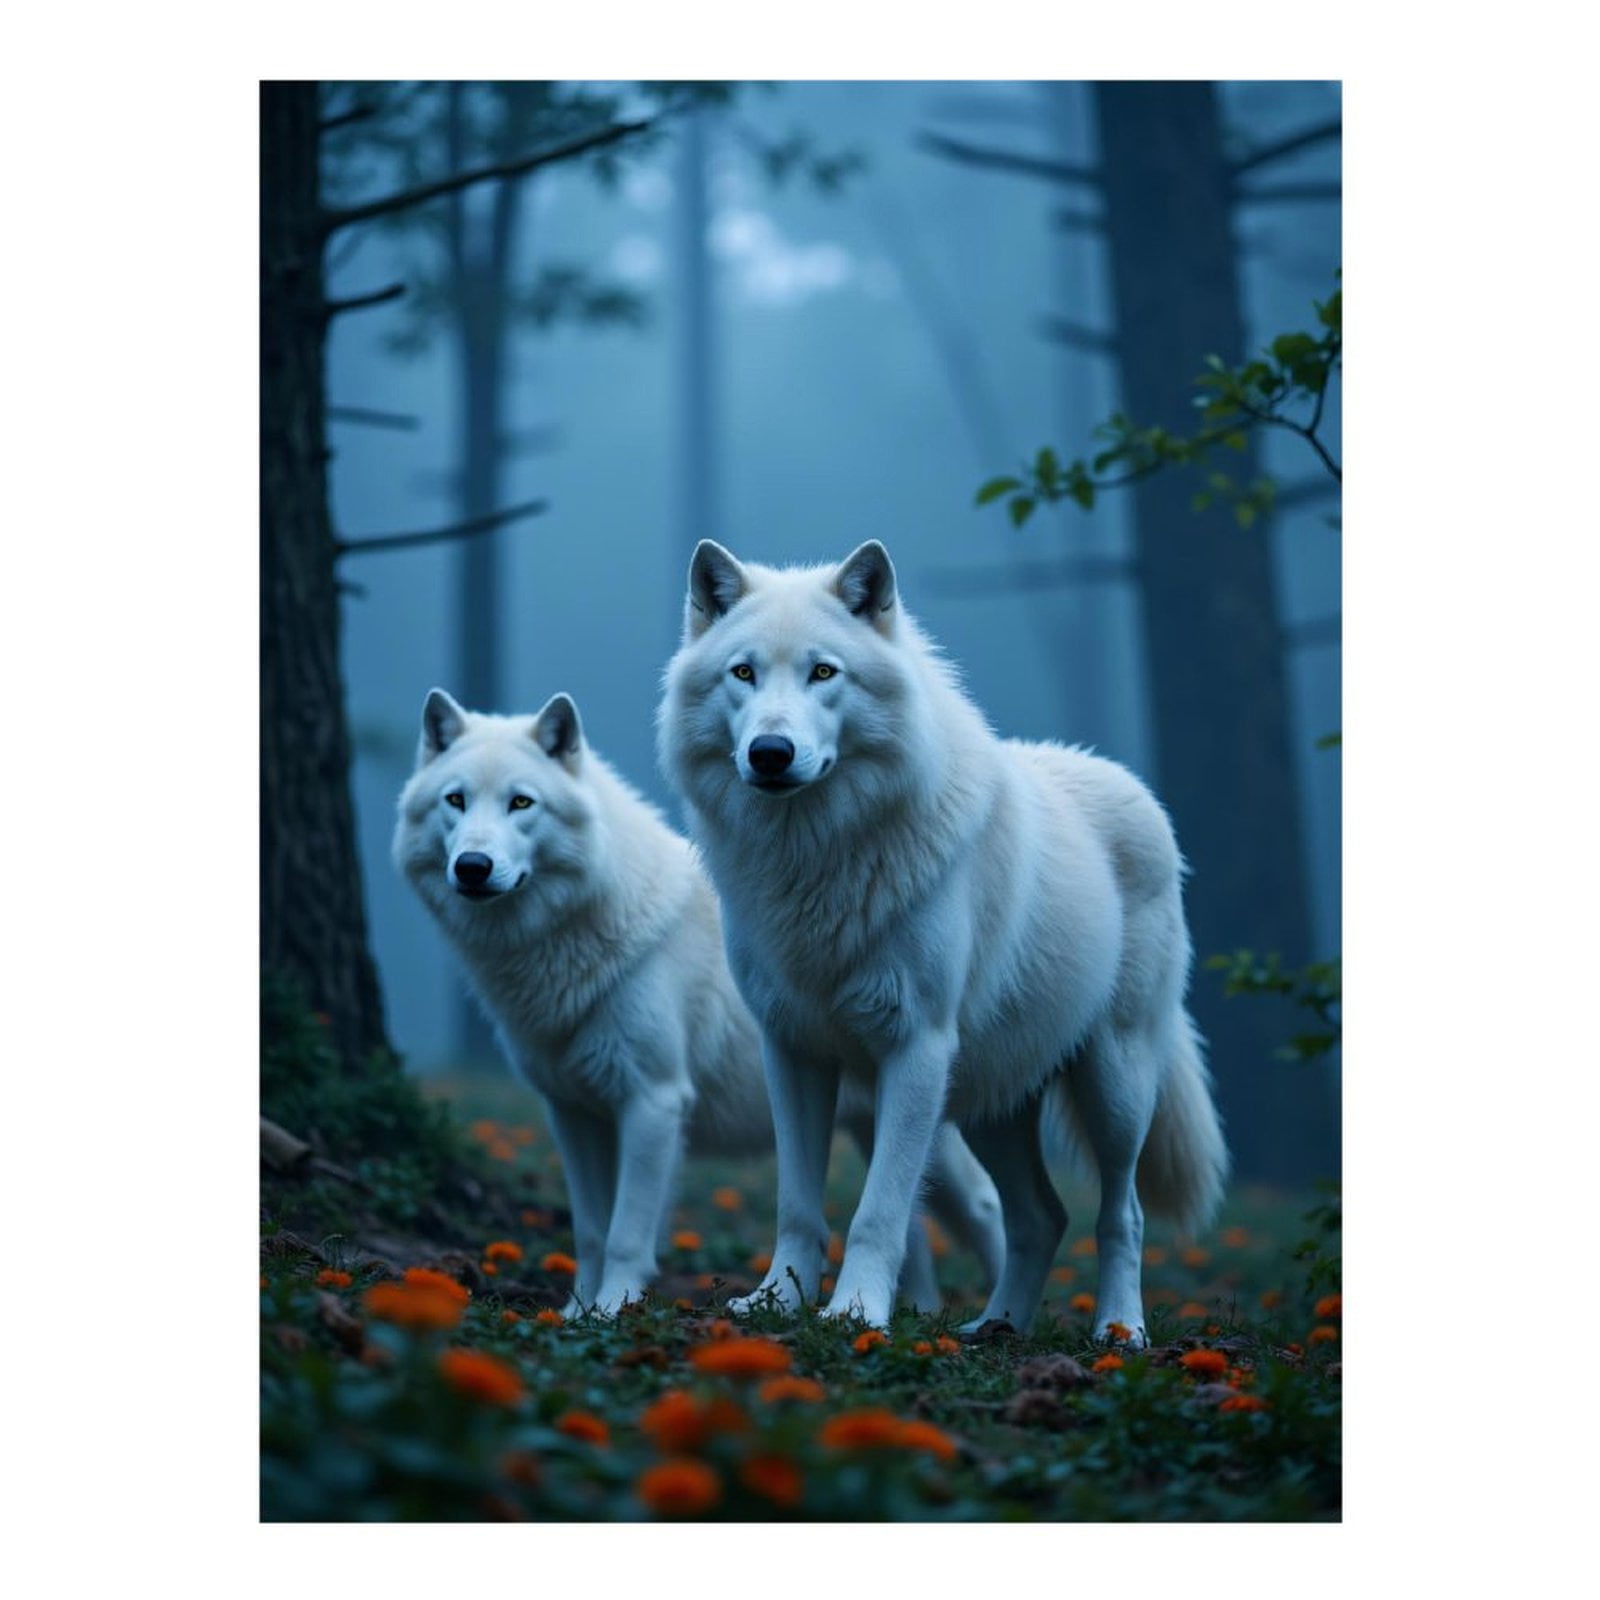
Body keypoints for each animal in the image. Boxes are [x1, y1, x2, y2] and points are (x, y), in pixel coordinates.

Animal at [393, 687, 1004, 1317]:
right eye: (456, 801)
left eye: (521, 803)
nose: (472, 867)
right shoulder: (571, 1112)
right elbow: (590, 1231)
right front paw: (576, 1314)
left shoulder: (653, 1103)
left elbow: (626, 1234)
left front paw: (613, 1310)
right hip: (866, 1126)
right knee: (916, 1235)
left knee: (987, 1208)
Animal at [658, 540, 1229, 1342]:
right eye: (743, 673)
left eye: (823, 672)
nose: (771, 752)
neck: (816, 860)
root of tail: (1130, 783)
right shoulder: (792, 1050)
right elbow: (797, 1204)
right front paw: (777, 1300)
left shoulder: (916, 1048)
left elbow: (879, 1210)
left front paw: (855, 1312)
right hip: (991, 1102)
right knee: (1041, 1217)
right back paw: (997, 1327)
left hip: (1114, 1087)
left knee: (1123, 1215)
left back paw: (1120, 1331)